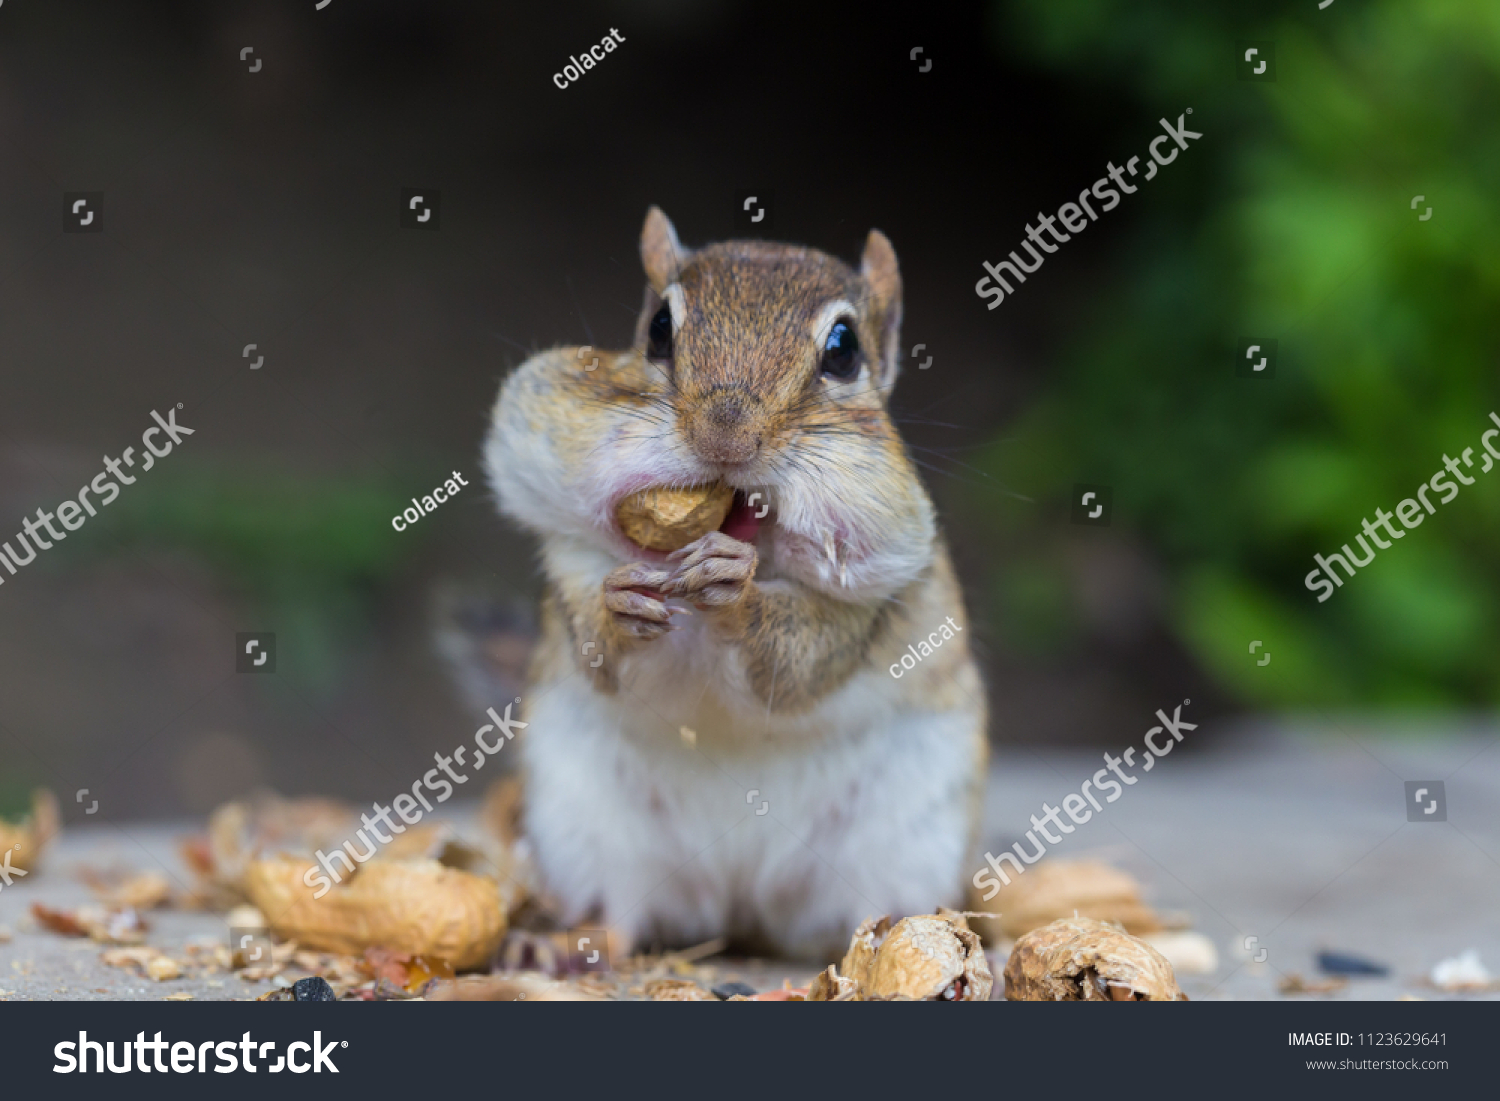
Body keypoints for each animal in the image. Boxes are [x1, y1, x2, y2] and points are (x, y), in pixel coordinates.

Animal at [482, 207, 987, 959]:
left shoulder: (877, 597)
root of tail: (744, 906)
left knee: (870, 906)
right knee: (623, 907)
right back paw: (568, 947)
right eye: (659, 328)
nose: (725, 436)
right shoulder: (570, 559)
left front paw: (740, 597)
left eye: (844, 349)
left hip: (909, 832)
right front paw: (618, 606)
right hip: (586, 823)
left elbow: (799, 661)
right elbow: (600, 652)